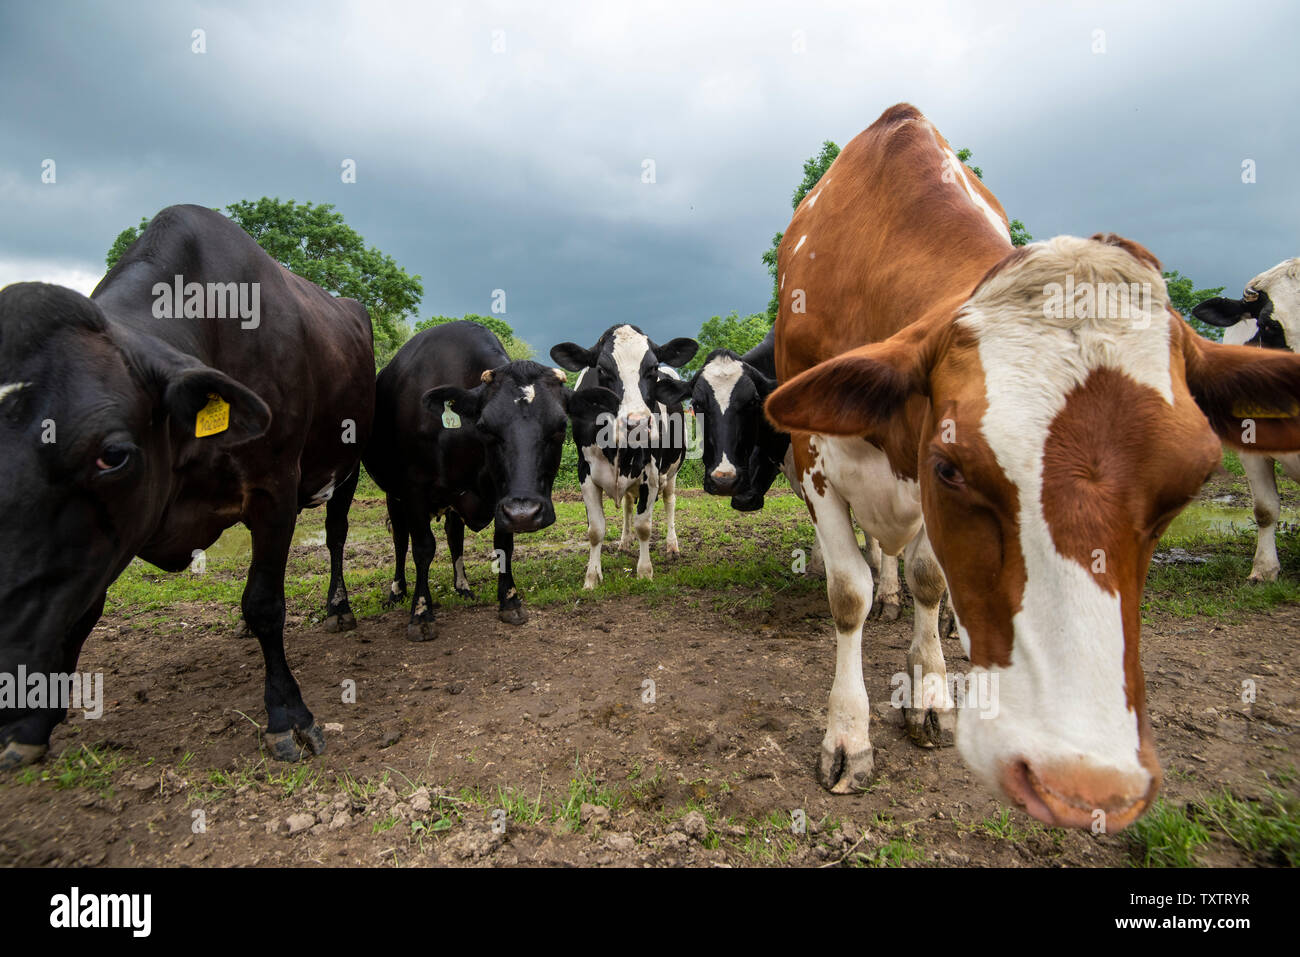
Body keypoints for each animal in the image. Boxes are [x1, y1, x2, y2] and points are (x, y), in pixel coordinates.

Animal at [0, 204, 374, 768]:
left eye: (113, 454)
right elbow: (82, 612)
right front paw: (33, 722)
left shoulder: (275, 487)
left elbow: (266, 604)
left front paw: (288, 716)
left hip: (347, 468)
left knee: (334, 537)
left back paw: (339, 608)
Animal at [363, 321, 618, 639]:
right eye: (485, 427)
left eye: (561, 426)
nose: (525, 513)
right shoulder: (413, 490)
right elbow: (422, 547)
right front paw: (421, 614)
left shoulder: (502, 497)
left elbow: (503, 542)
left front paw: (509, 600)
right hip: (393, 495)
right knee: (400, 539)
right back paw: (396, 592)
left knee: (453, 535)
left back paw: (462, 586)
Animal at [550, 326, 697, 588]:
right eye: (602, 369)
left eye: (653, 368)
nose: (637, 423)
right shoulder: (585, 474)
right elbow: (596, 530)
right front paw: (591, 578)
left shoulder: (651, 473)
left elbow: (644, 525)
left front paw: (645, 572)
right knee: (628, 503)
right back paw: (624, 542)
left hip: (671, 472)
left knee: (669, 501)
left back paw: (672, 546)